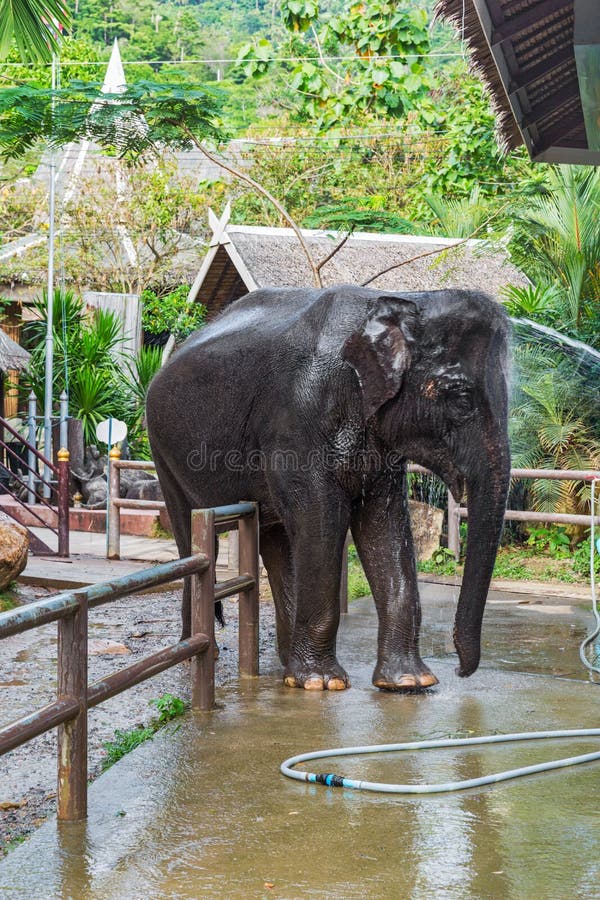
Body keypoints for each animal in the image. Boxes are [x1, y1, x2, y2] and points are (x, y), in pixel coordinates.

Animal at [146, 285, 510, 692]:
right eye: (461, 397)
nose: (461, 671)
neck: (401, 300)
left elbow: (385, 526)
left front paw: (409, 682)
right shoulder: (298, 421)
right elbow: (322, 521)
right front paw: (323, 683)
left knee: (274, 535)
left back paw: (286, 665)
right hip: (163, 453)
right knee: (188, 533)